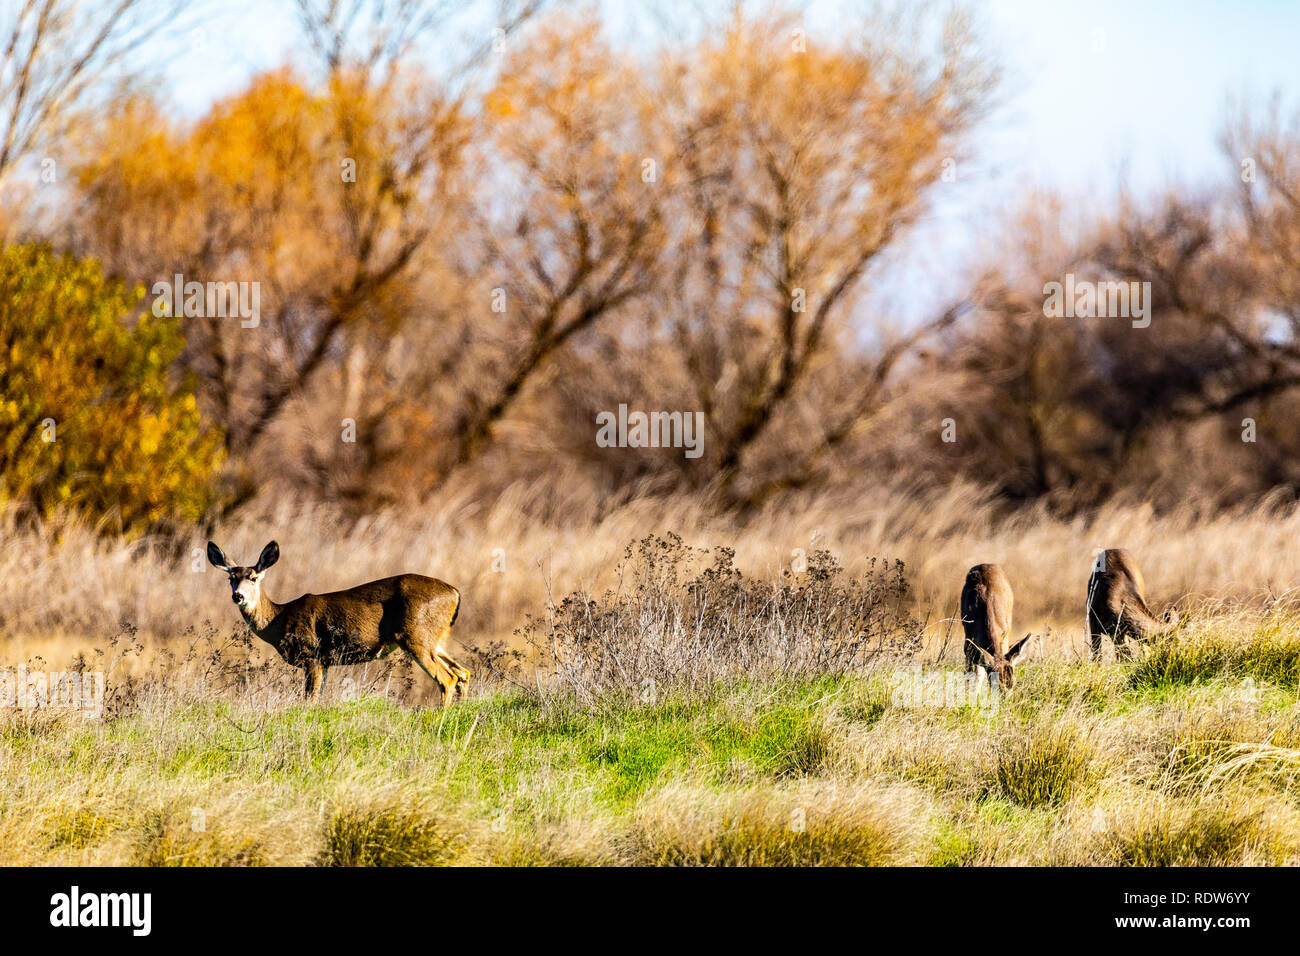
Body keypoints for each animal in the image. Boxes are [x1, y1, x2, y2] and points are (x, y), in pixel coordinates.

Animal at [206, 541, 470, 706]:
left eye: (252, 577)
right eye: (230, 578)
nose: (237, 596)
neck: (279, 619)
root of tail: (455, 593)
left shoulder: (312, 655)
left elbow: (309, 700)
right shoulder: (324, 662)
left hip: (416, 636)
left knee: (447, 679)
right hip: (434, 639)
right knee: (463, 672)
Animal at [960, 563, 1033, 693]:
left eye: (1013, 683)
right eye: (996, 683)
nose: (1005, 696)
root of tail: (984, 564)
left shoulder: (1004, 636)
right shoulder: (968, 641)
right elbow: (972, 676)